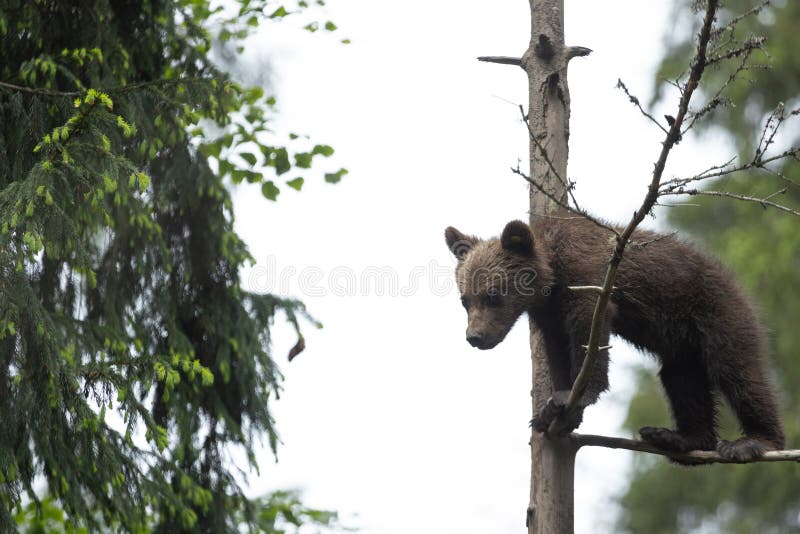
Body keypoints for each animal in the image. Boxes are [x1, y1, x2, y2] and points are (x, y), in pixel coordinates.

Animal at [444, 217, 785, 462]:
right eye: (465, 300)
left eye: (492, 295)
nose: (475, 337)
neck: (552, 276)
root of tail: (734, 281)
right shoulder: (549, 315)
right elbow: (557, 352)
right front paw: (551, 411)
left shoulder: (589, 283)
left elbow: (588, 338)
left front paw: (573, 396)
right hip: (682, 347)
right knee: (682, 381)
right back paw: (679, 438)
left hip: (717, 312)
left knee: (739, 372)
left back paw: (753, 441)